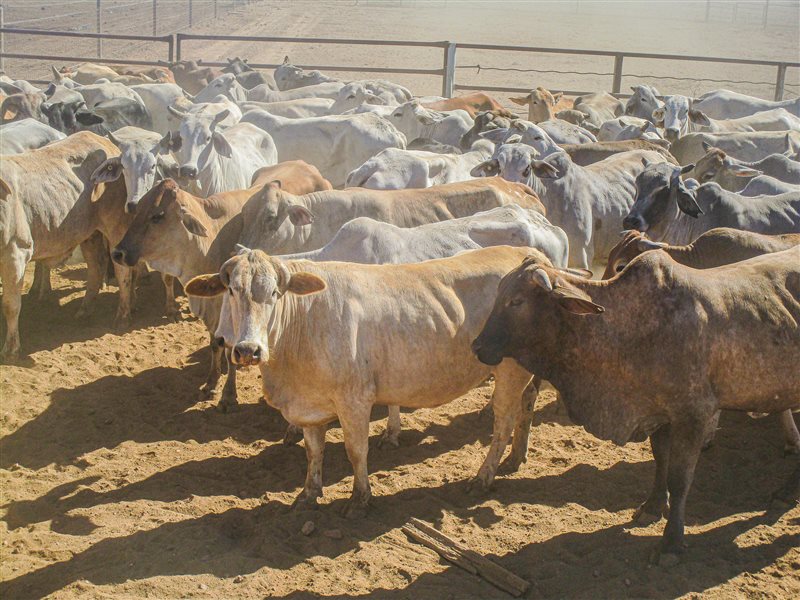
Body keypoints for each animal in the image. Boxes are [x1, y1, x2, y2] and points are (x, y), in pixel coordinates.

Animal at [186, 246, 546, 516]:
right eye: (232, 291)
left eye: (275, 293)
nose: (248, 349)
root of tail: (526, 253)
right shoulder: (310, 406)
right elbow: (313, 451)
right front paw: (308, 493)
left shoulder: (354, 399)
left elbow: (356, 450)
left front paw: (360, 498)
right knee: (527, 406)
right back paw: (516, 457)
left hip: (510, 371)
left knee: (503, 423)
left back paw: (483, 477)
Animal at [471, 248, 800, 563]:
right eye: (499, 293)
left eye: (517, 301)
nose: (477, 346)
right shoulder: (658, 413)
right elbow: (661, 461)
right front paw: (652, 506)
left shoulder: (692, 416)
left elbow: (679, 479)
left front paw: (671, 542)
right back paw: (787, 492)